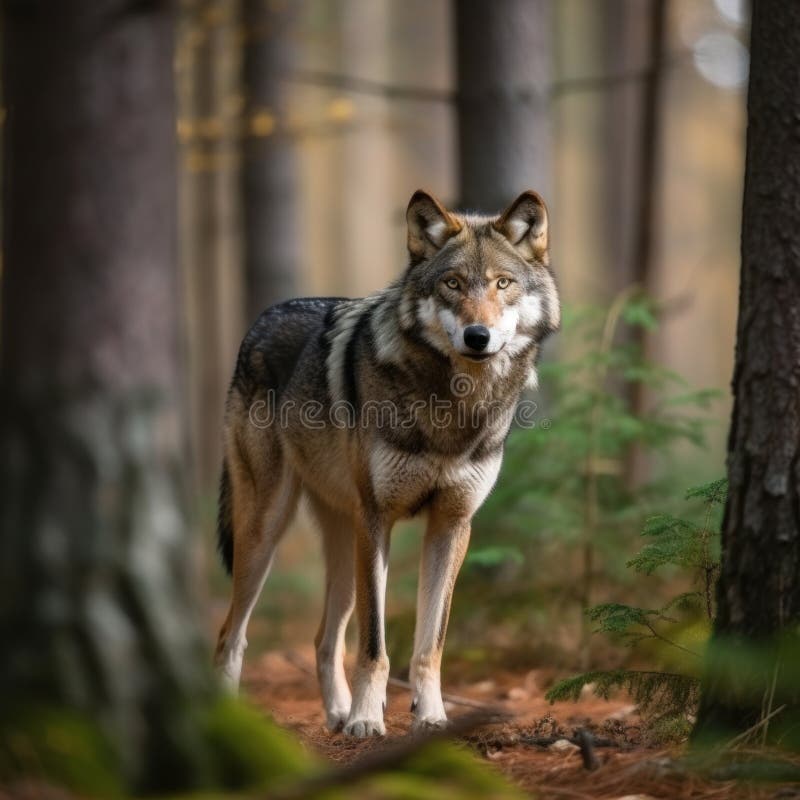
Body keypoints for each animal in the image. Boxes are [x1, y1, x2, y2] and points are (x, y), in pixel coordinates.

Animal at [214, 189, 560, 737]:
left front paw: (431, 716)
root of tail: (264, 317)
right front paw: (366, 721)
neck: (452, 408)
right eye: (452, 283)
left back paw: (335, 714)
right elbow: (374, 644)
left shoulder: (451, 525)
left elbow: (430, 644)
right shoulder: (378, 519)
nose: (477, 336)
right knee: (230, 635)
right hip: (267, 530)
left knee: (323, 637)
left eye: (502, 283)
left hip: (341, 540)